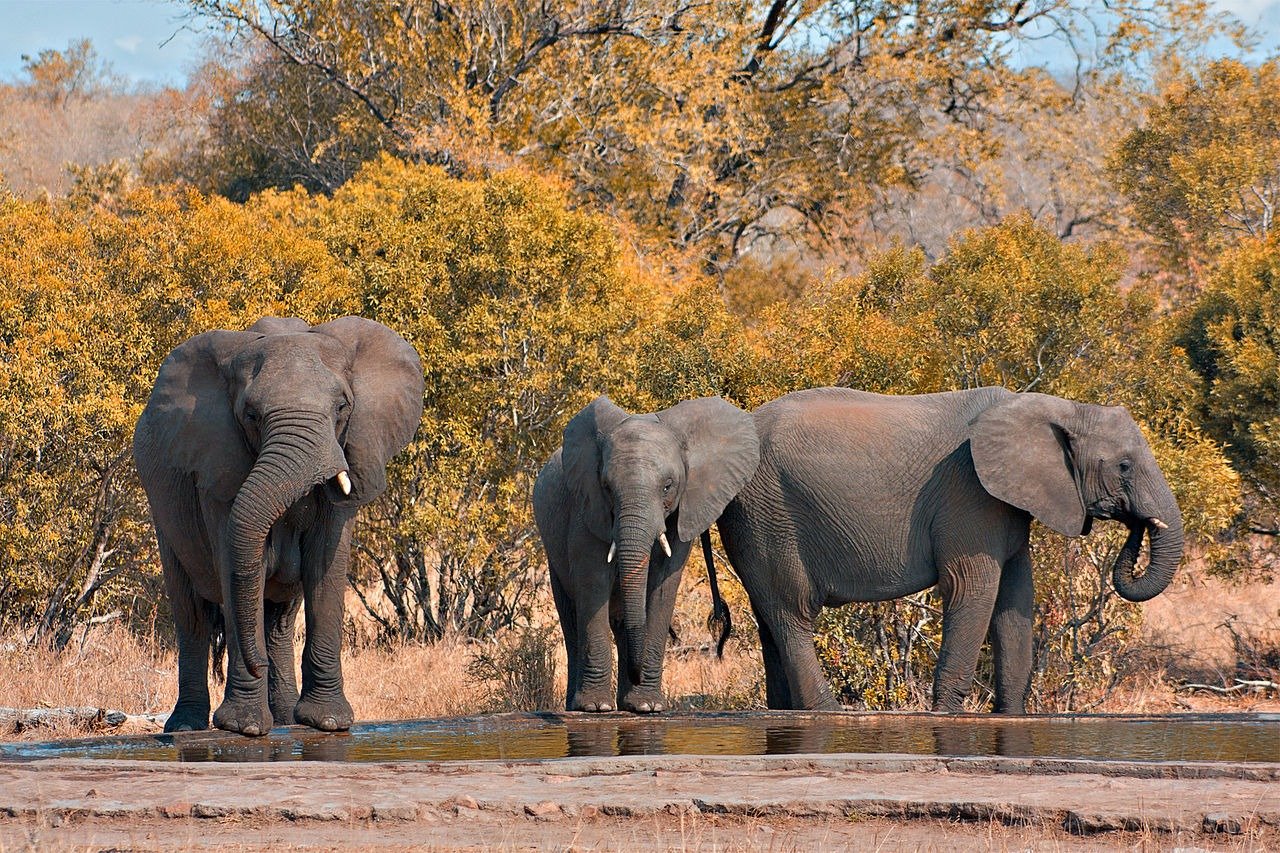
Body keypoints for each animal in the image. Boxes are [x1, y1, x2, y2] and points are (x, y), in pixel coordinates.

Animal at [133, 316, 423, 736]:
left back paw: (286, 718)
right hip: (163, 511)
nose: (258, 666)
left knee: (280, 620)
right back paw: (186, 728)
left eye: (342, 407)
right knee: (193, 614)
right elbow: (237, 570)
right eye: (251, 415)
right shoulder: (218, 467)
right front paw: (245, 728)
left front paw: (328, 722)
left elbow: (326, 568)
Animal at [533, 396, 758, 713]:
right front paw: (596, 708)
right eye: (606, 486)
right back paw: (577, 706)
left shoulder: (681, 511)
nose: (636, 672)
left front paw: (646, 706)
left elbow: (663, 586)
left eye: (668, 486)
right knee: (571, 616)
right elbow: (593, 581)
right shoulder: (586, 508)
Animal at [714, 386, 1184, 714]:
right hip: (768, 515)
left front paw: (1011, 715)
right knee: (792, 611)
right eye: (1124, 466)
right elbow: (970, 589)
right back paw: (829, 713)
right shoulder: (971, 495)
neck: (1058, 408)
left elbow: (1016, 599)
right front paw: (945, 714)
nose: (1138, 527)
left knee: (769, 619)